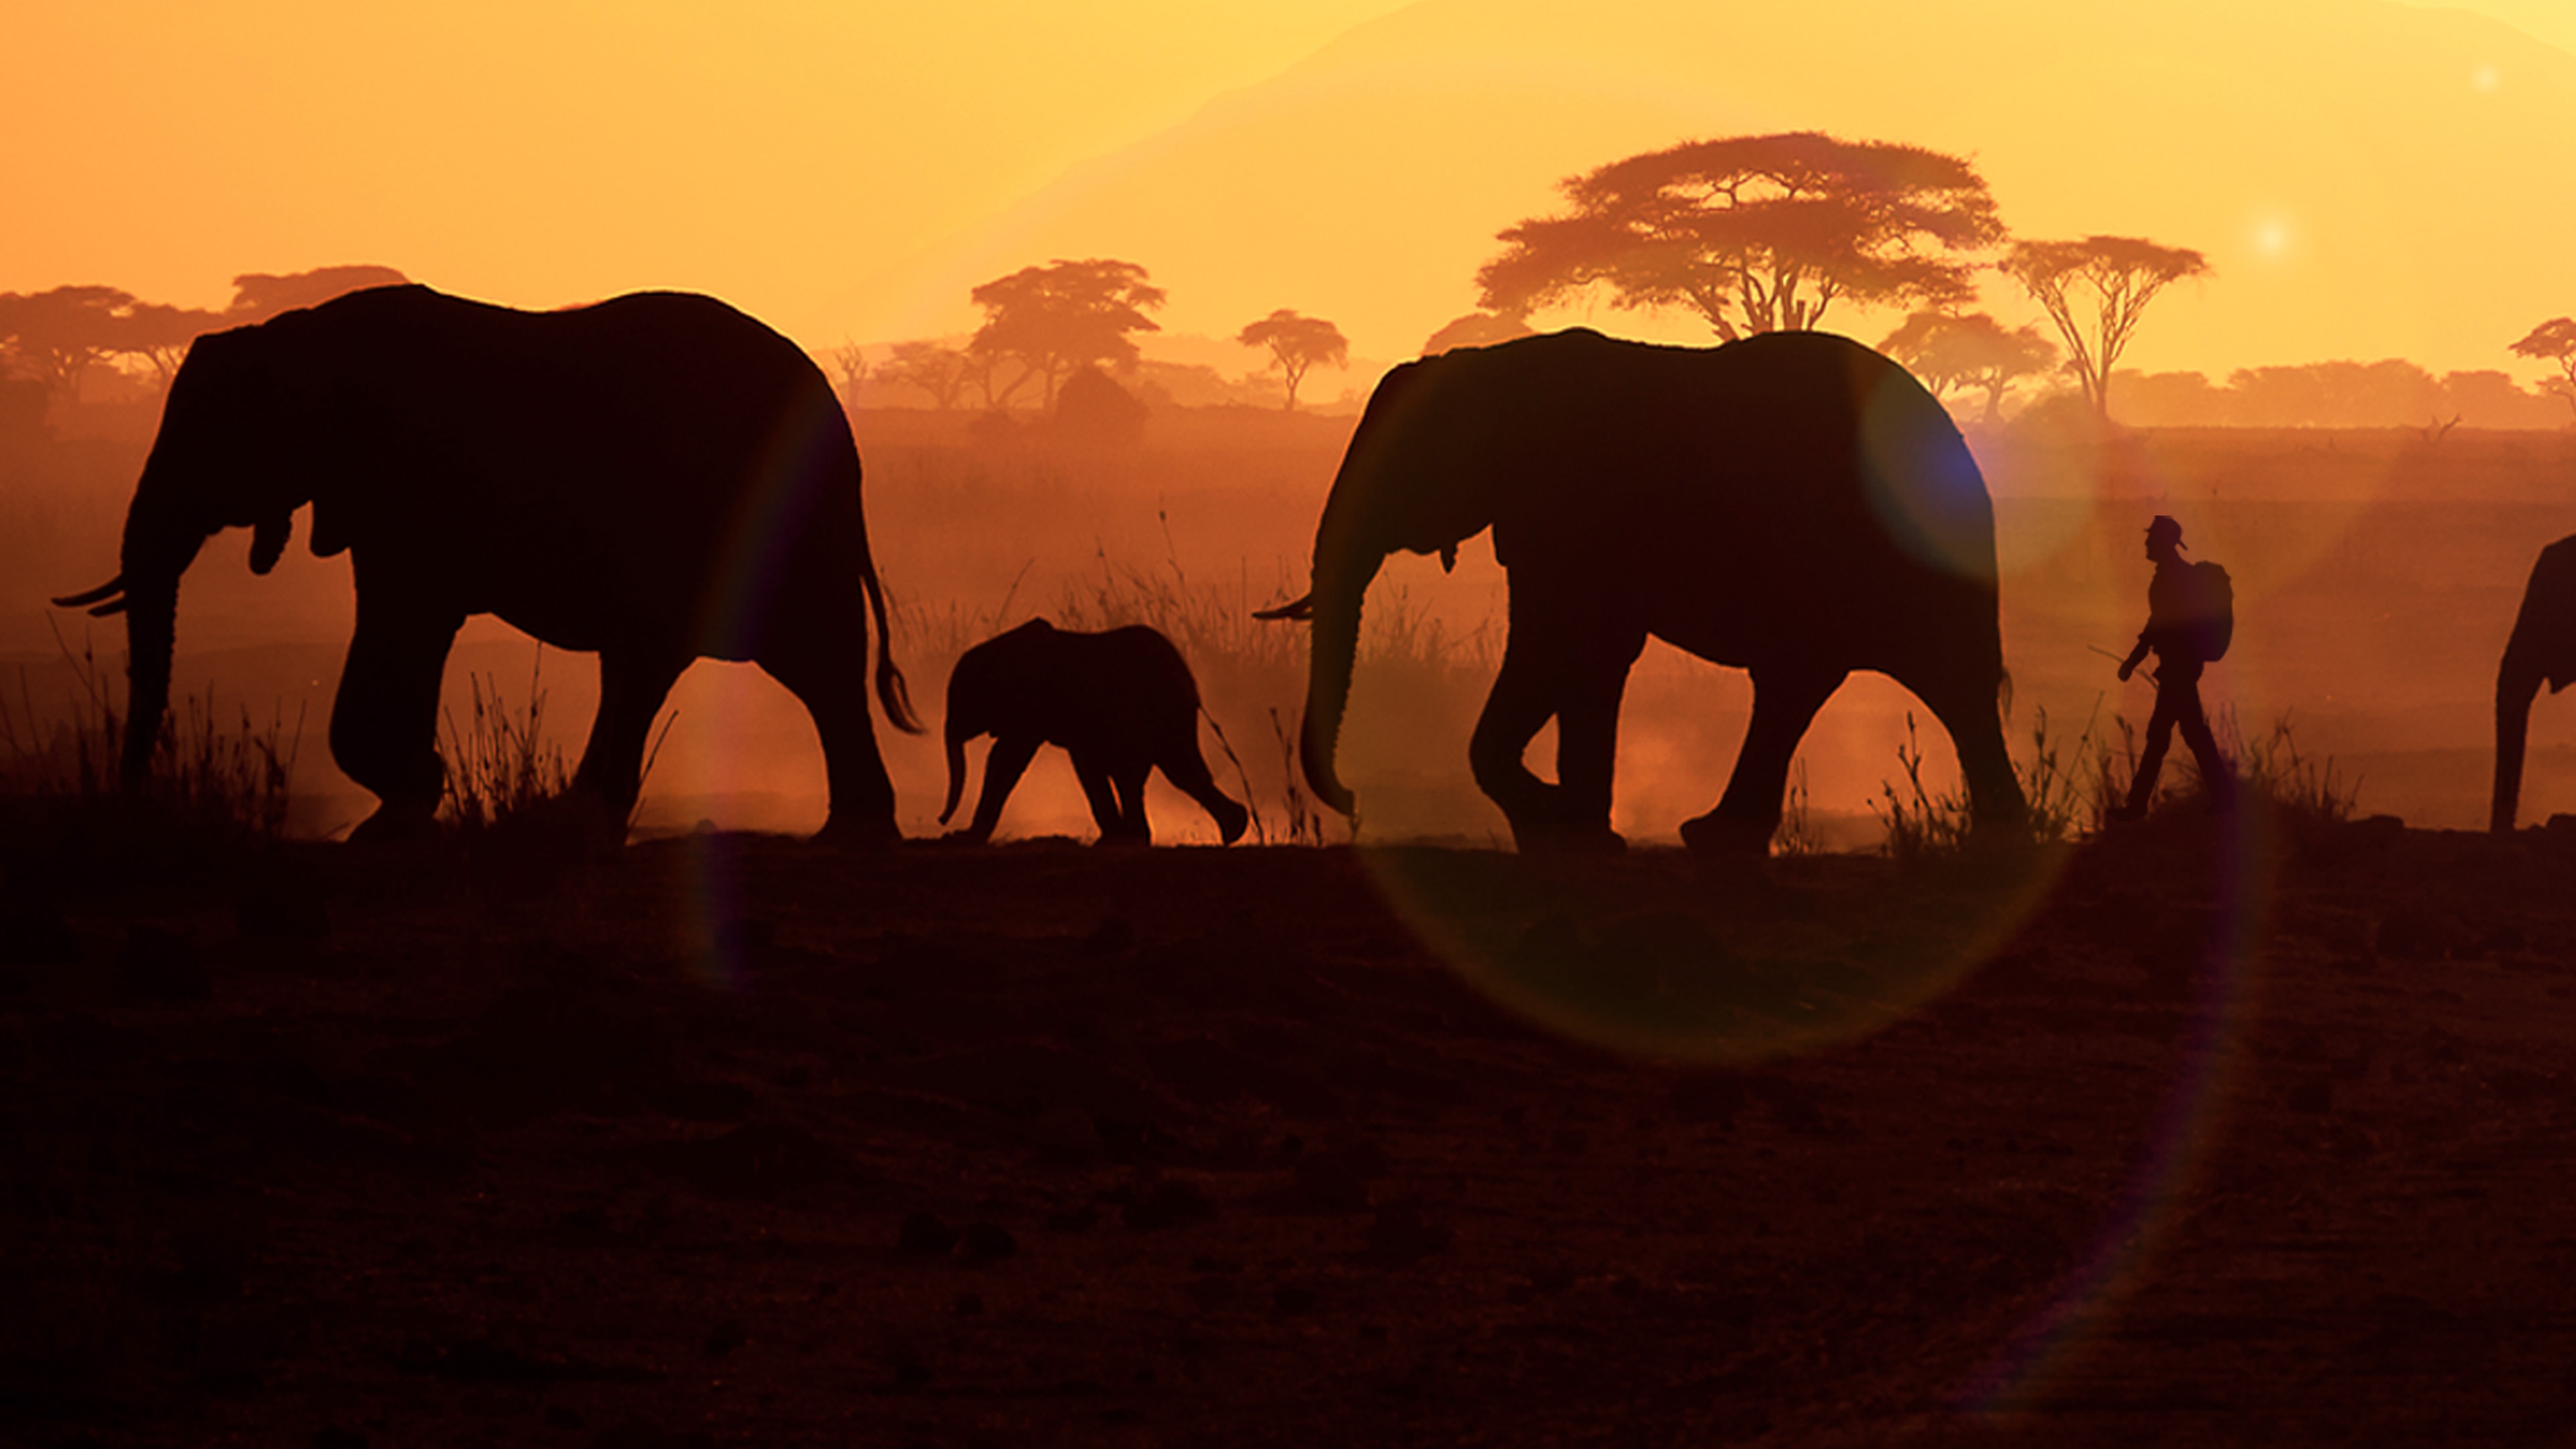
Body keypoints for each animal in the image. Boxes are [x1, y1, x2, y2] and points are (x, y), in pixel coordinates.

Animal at [54, 284, 919, 843]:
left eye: (211, 442)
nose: (133, 804)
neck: (295, 337)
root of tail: (838, 419)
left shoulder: (408, 480)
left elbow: (405, 619)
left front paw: (400, 807)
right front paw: (402, 805)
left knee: (779, 659)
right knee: (698, 664)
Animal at [939, 618, 1249, 846]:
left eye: (963, 701)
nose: (942, 822)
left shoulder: (1033, 704)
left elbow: (1007, 759)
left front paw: (962, 839)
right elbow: (1082, 766)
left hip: (1155, 713)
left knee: (1143, 774)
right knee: (1177, 771)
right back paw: (1232, 830)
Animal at [1258, 326, 2027, 855]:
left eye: (1396, 471)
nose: (1354, 802)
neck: (1489, 364)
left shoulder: (1568, 505)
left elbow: (1560, 645)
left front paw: (1561, 826)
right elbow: (1591, 659)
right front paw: (1578, 833)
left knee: (1910, 681)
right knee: (1838, 684)